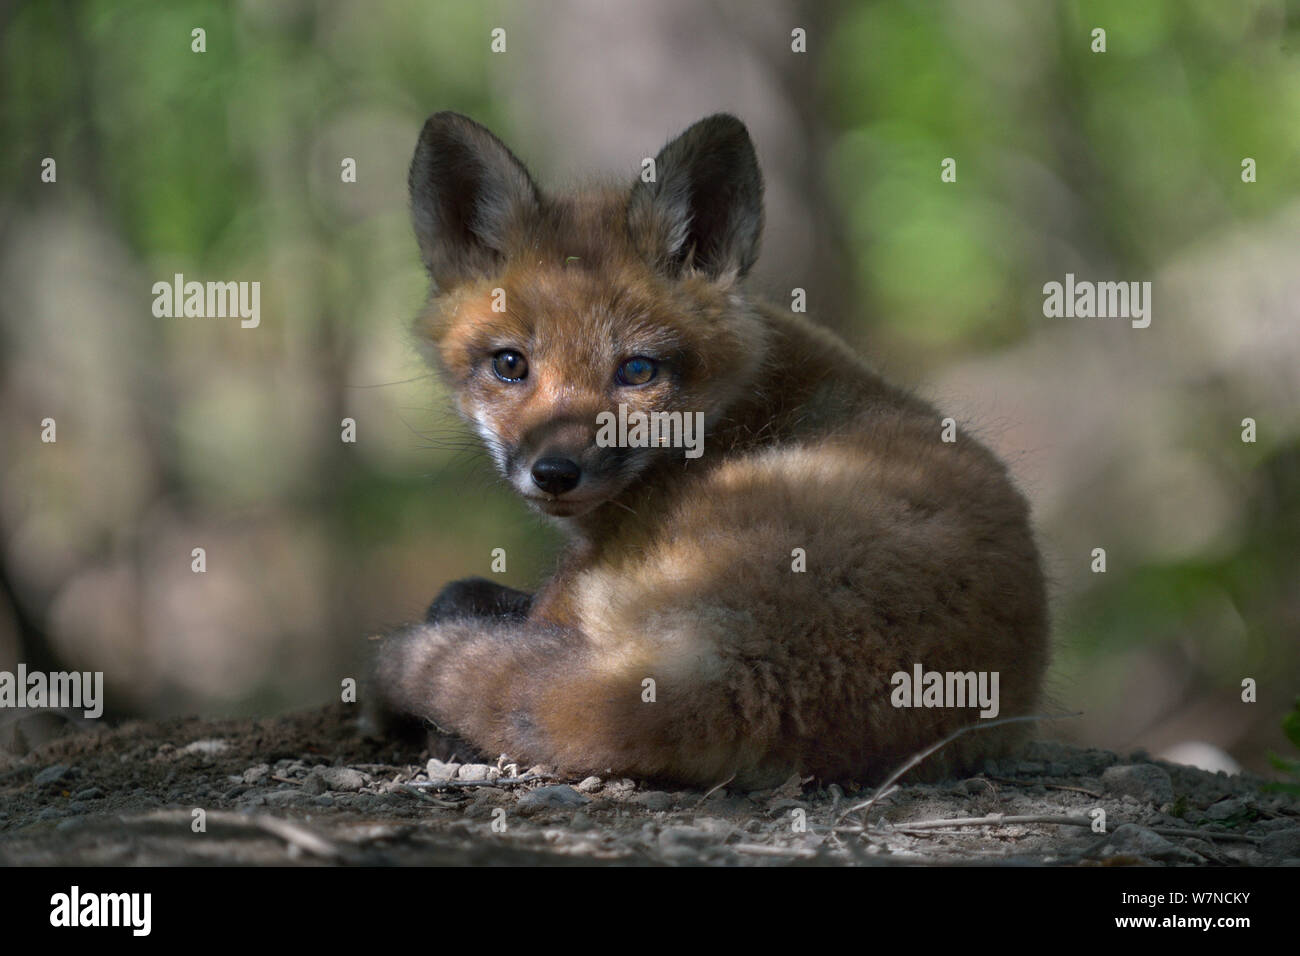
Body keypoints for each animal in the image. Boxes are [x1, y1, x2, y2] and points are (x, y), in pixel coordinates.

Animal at [369, 111, 1050, 789]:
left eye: (637, 371)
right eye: (510, 365)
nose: (555, 473)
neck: (748, 398)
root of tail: (739, 672)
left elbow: (461, 604)